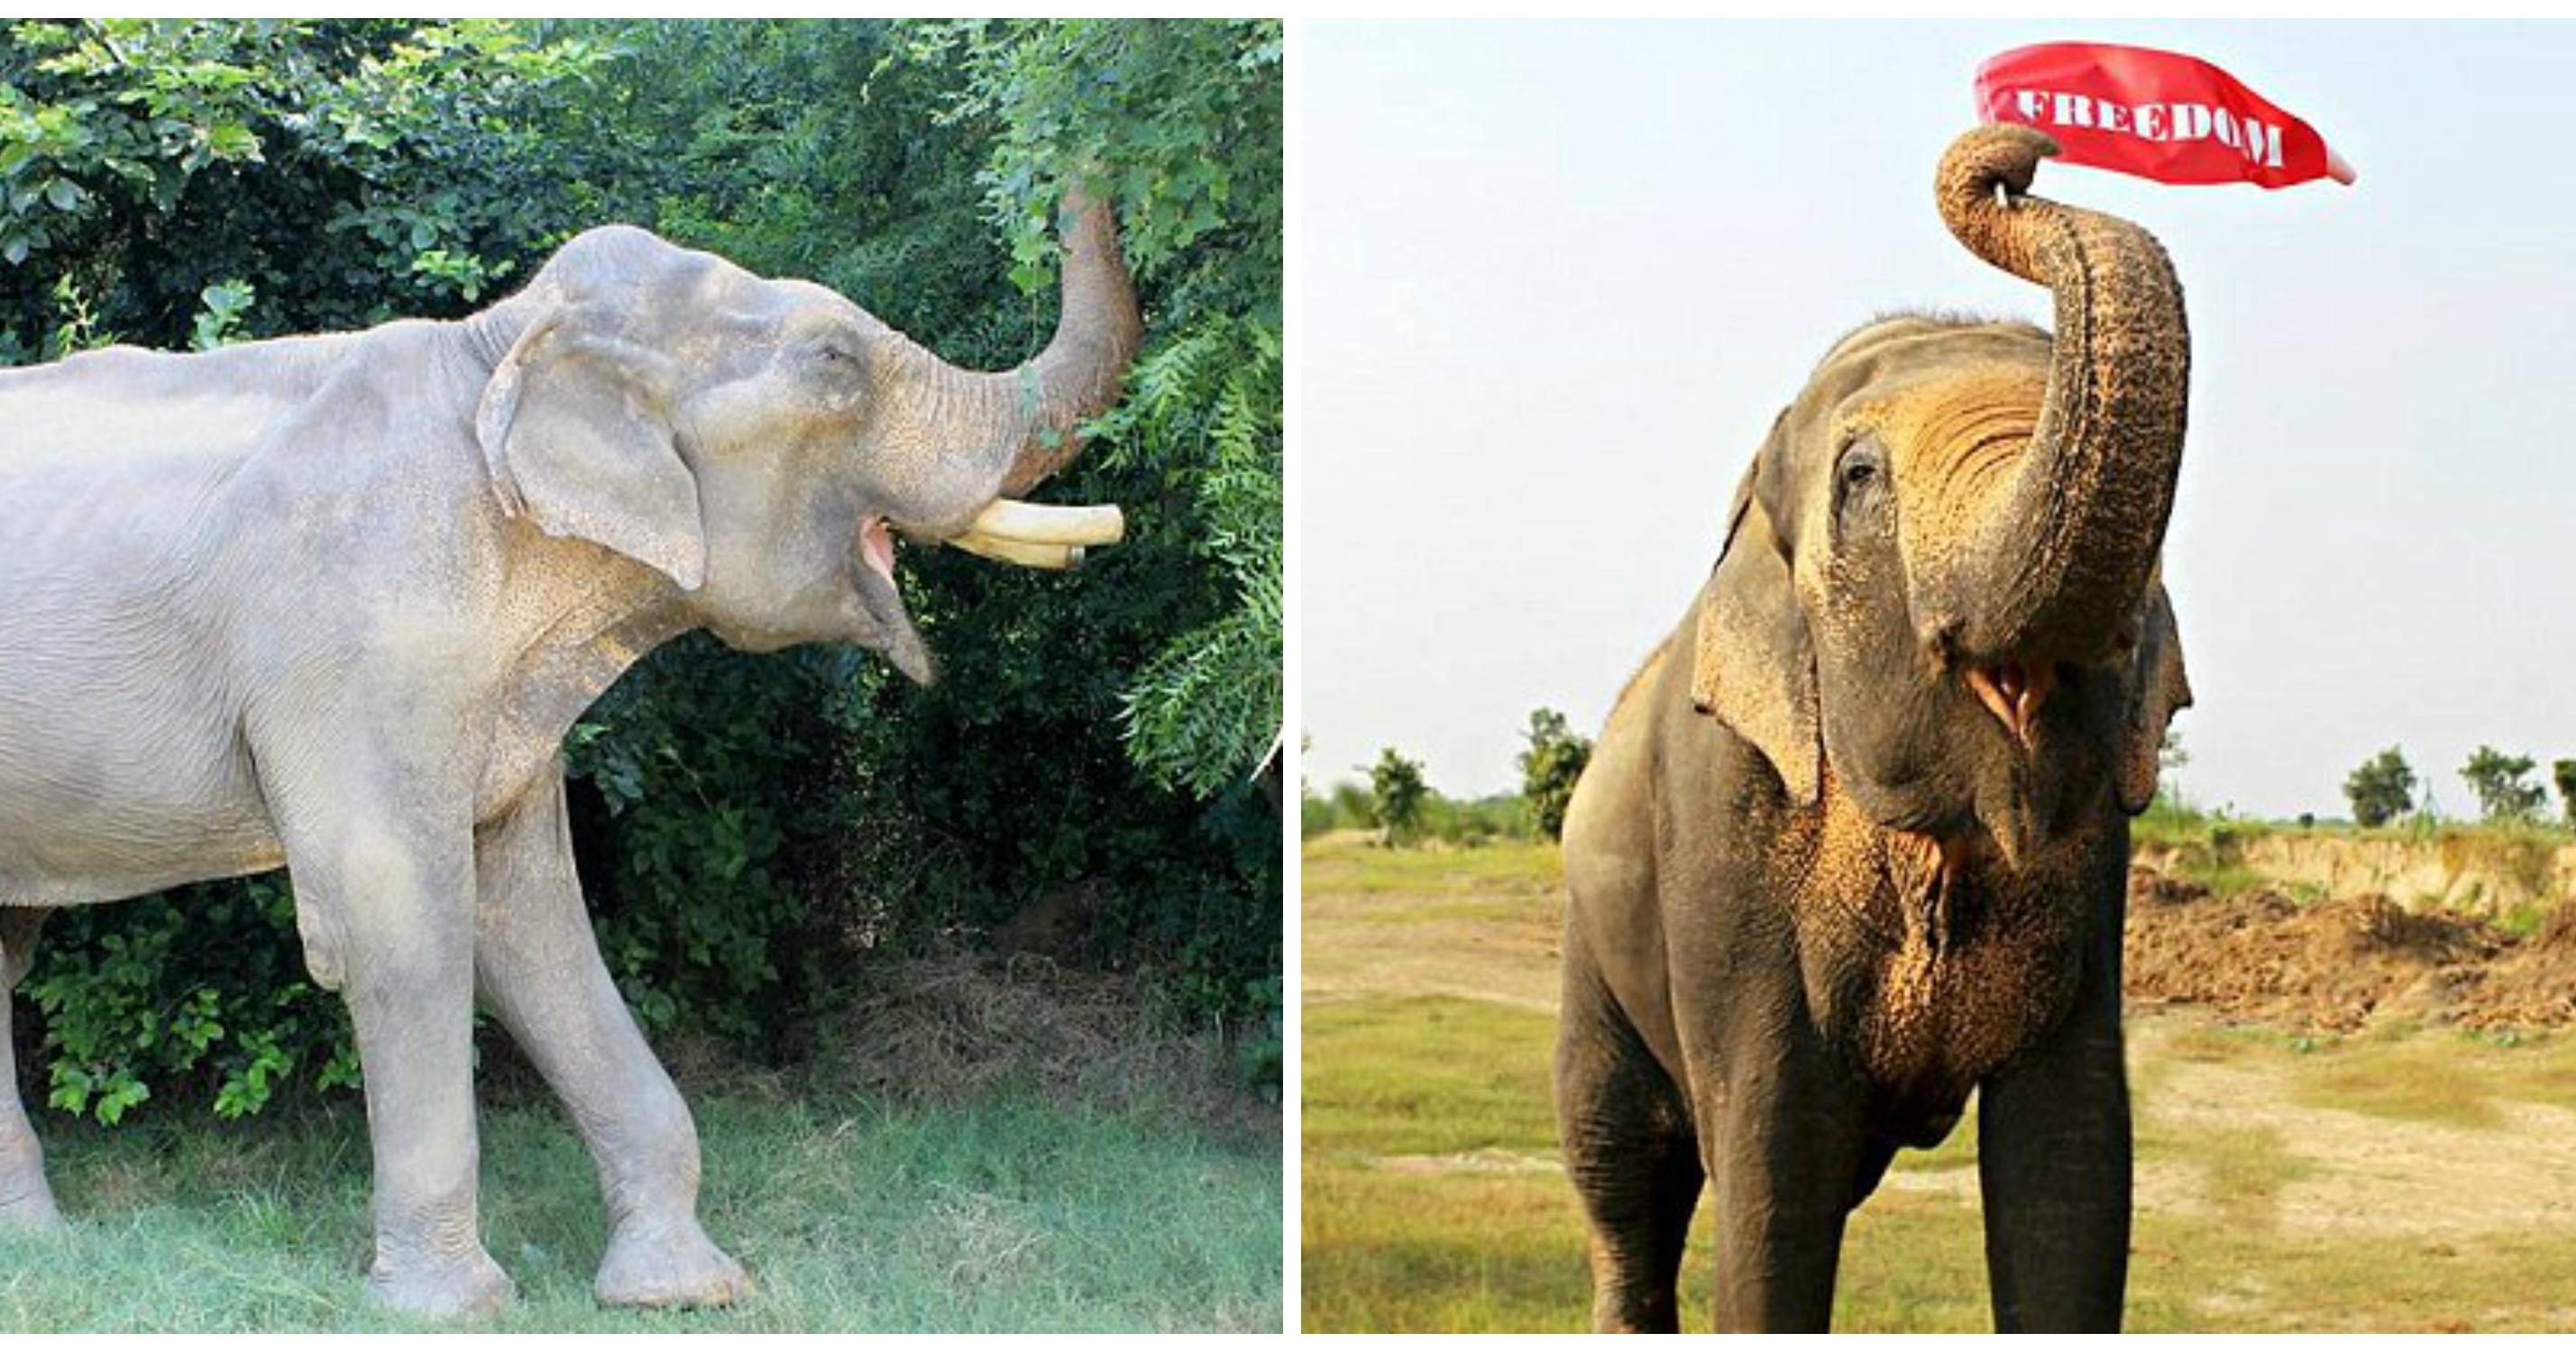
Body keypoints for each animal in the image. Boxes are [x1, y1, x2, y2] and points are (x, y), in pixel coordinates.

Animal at [0, 186, 1140, 1317]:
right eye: (834, 362)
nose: (1085, 173)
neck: (496, 349)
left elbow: (537, 917)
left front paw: (686, 1293)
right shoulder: (353, 640)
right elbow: (397, 925)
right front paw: (450, 1312)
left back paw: (37, 1246)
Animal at [1554, 125, 2193, 1333]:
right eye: (1860, 477)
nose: (2026, 154)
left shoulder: (2098, 878)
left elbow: (2073, 1165)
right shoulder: (1718, 838)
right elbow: (1772, 1170)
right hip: (1588, 937)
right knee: (1623, 1169)